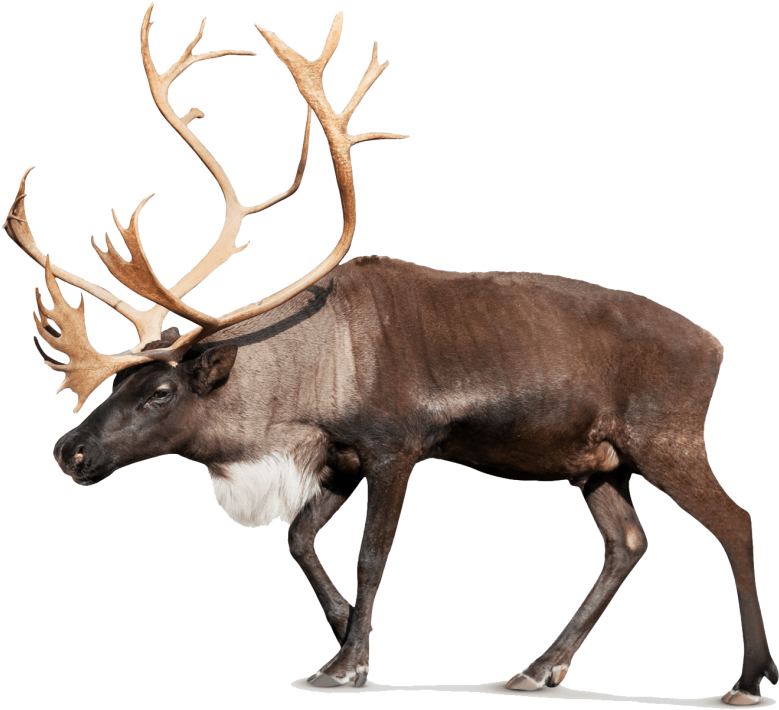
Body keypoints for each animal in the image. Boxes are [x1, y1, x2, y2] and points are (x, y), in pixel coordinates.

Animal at [3, 3, 776, 703]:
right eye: (116, 385)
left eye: (160, 392)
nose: (69, 451)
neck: (308, 384)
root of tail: (715, 343)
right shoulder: (339, 458)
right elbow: (299, 539)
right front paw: (344, 636)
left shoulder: (396, 445)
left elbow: (371, 554)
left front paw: (349, 664)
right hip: (596, 462)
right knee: (627, 543)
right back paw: (533, 670)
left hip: (665, 437)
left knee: (733, 520)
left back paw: (746, 679)